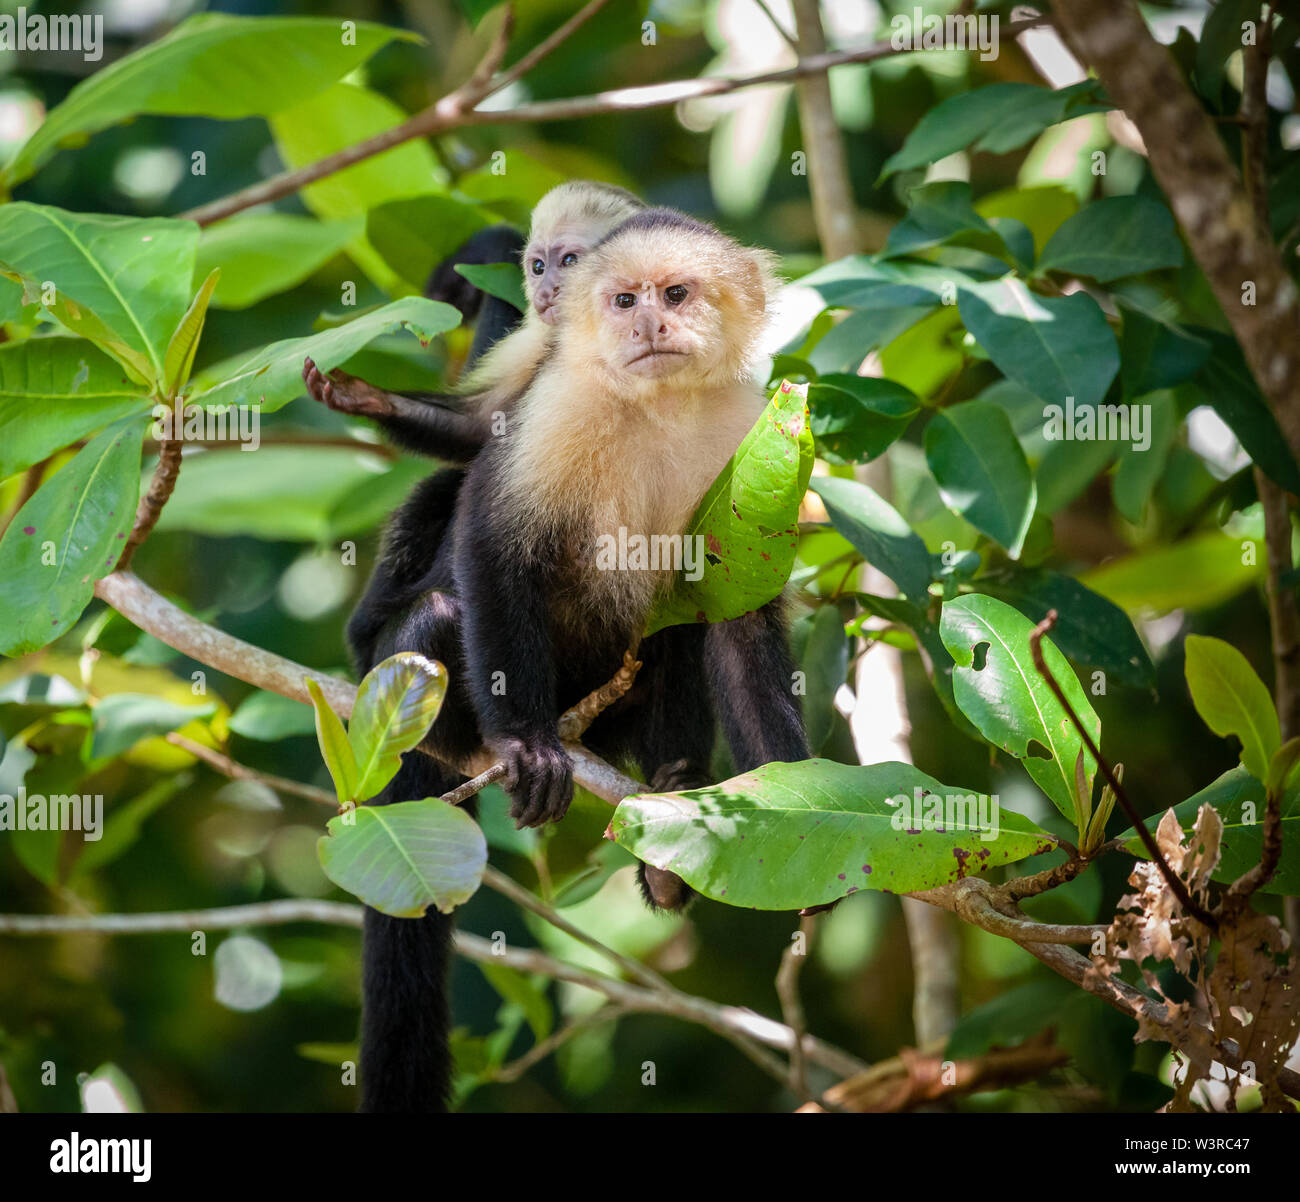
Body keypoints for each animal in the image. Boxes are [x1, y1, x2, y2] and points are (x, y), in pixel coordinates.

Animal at [355, 208, 809, 1112]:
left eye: (676, 294)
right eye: (625, 299)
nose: (649, 326)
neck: (657, 407)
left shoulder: (746, 438)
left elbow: (736, 616)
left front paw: (804, 797)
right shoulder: (554, 410)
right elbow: (494, 549)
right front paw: (527, 746)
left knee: (674, 635)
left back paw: (672, 798)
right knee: (438, 612)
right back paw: (473, 741)